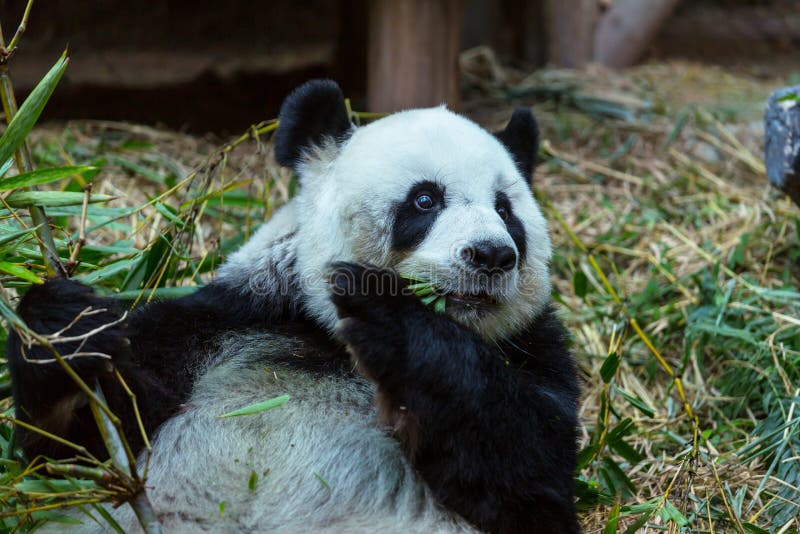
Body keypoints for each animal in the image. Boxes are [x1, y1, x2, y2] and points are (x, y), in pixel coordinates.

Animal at [8, 80, 580, 533]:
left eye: (506, 211)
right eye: (425, 199)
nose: (491, 255)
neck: (327, 338)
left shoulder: (531, 348)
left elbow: (529, 470)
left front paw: (389, 317)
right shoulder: (229, 319)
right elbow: (77, 453)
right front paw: (66, 329)